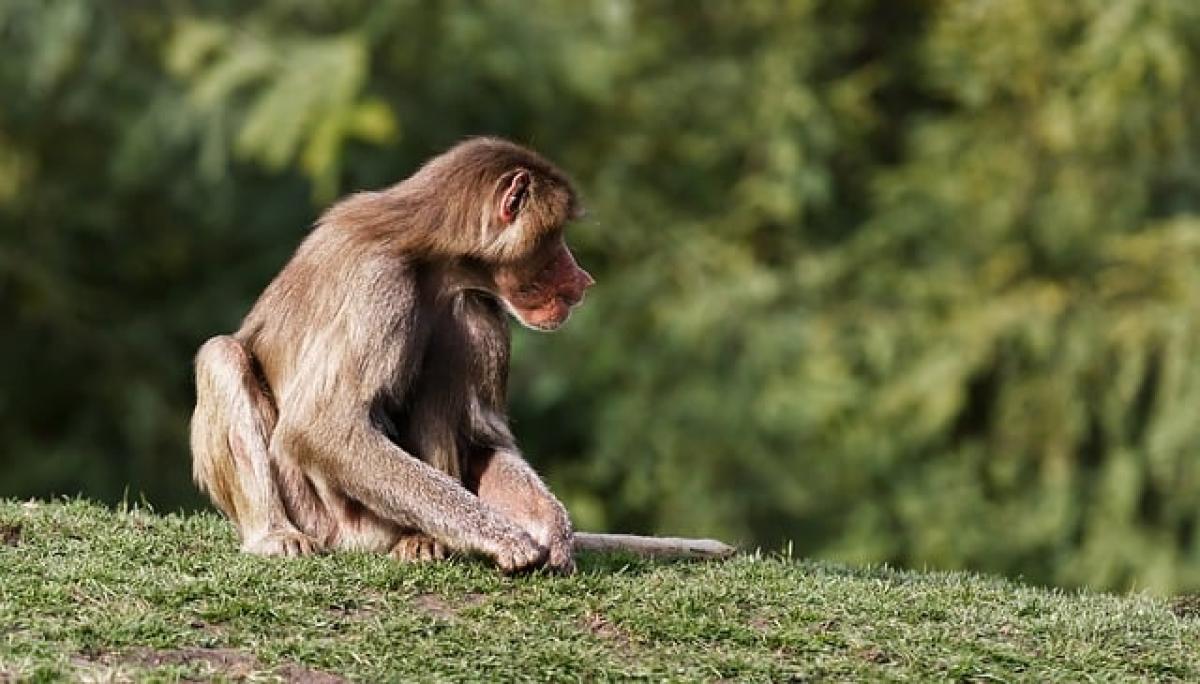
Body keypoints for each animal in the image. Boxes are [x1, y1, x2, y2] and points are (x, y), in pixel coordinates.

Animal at [188, 137, 595, 568]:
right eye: (555, 238)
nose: (582, 280)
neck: (431, 259)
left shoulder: (484, 315)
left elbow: (480, 442)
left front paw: (552, 526)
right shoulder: (382, 286)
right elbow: (321, 427)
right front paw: (506, 538)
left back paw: (422, 538)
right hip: (331, 516)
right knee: (222, 355)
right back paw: (274, 534)